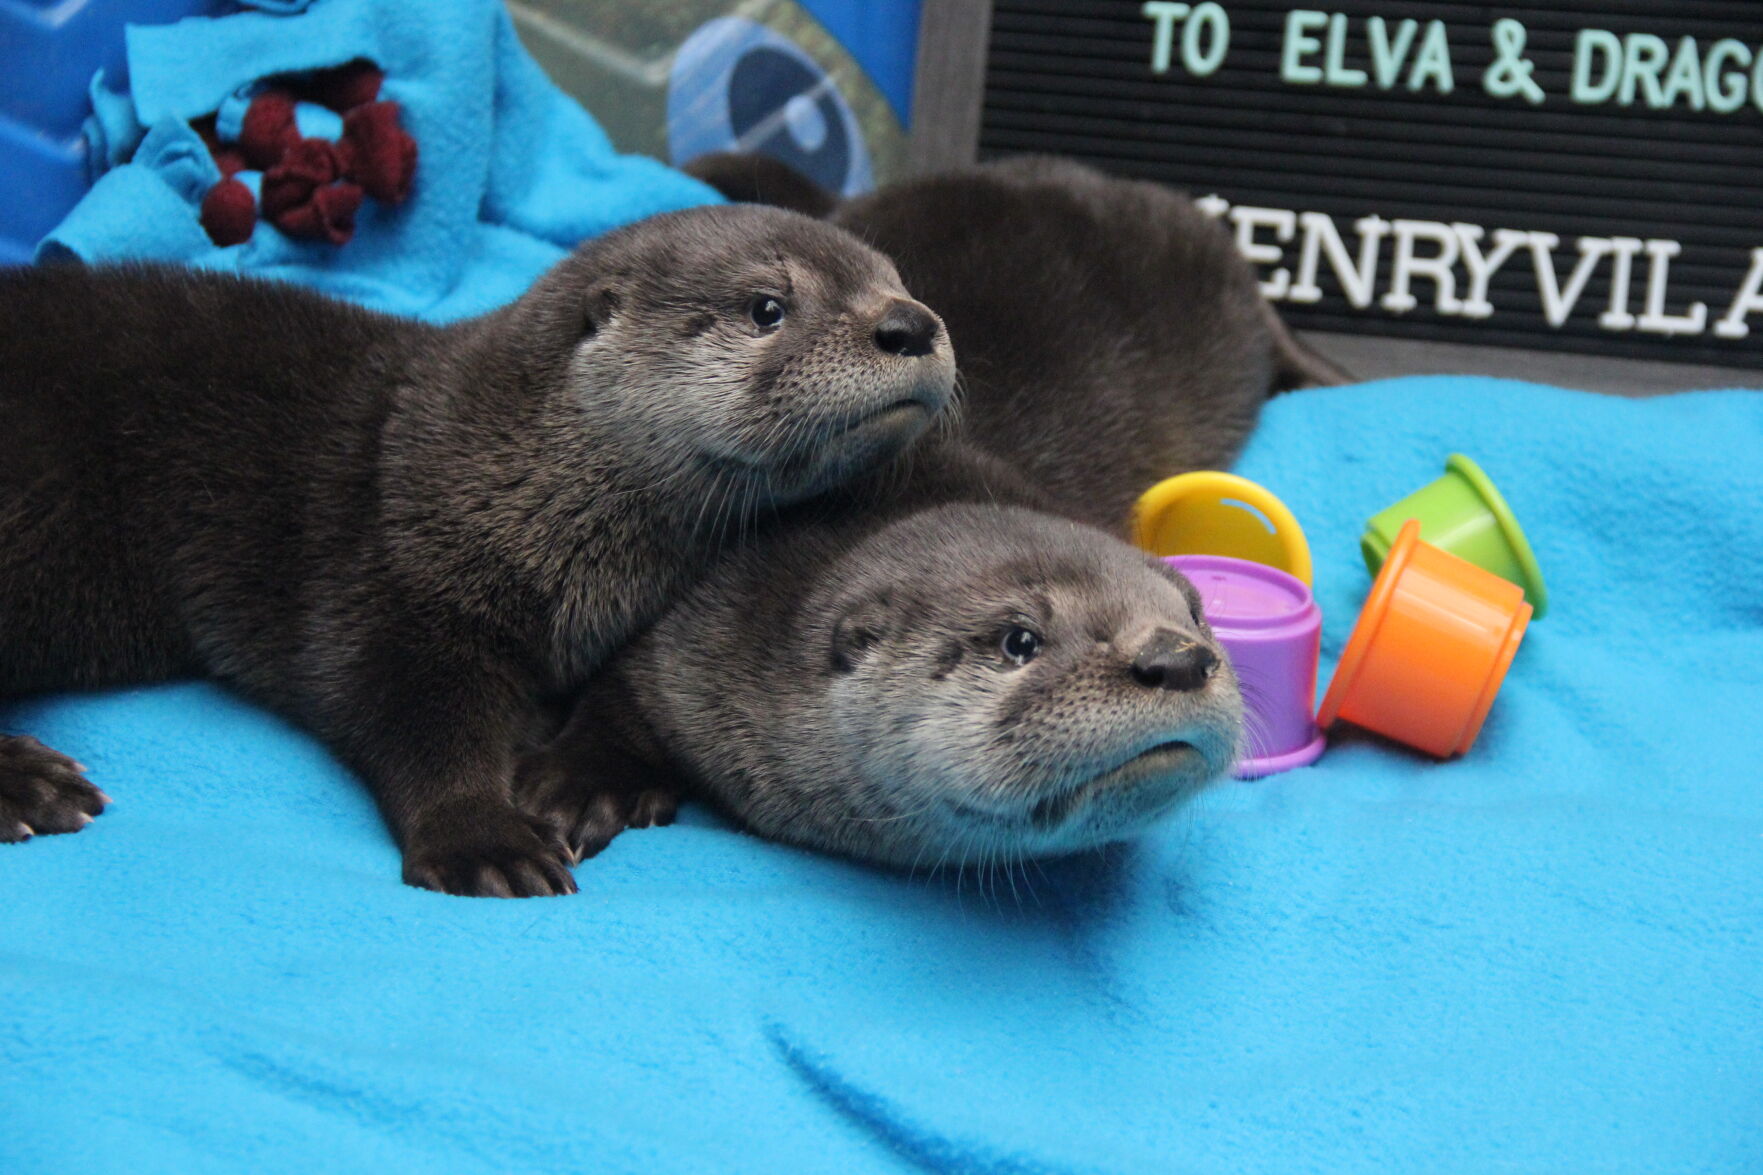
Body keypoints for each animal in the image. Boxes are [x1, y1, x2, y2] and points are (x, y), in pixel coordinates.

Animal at [0, 204, 955, 896]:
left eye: (899, 282)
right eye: (767, 307)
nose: (913, 323)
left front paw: (593, 780)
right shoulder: (394, 582)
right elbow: (407, 712)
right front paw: (482, 837)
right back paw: (30, 786)